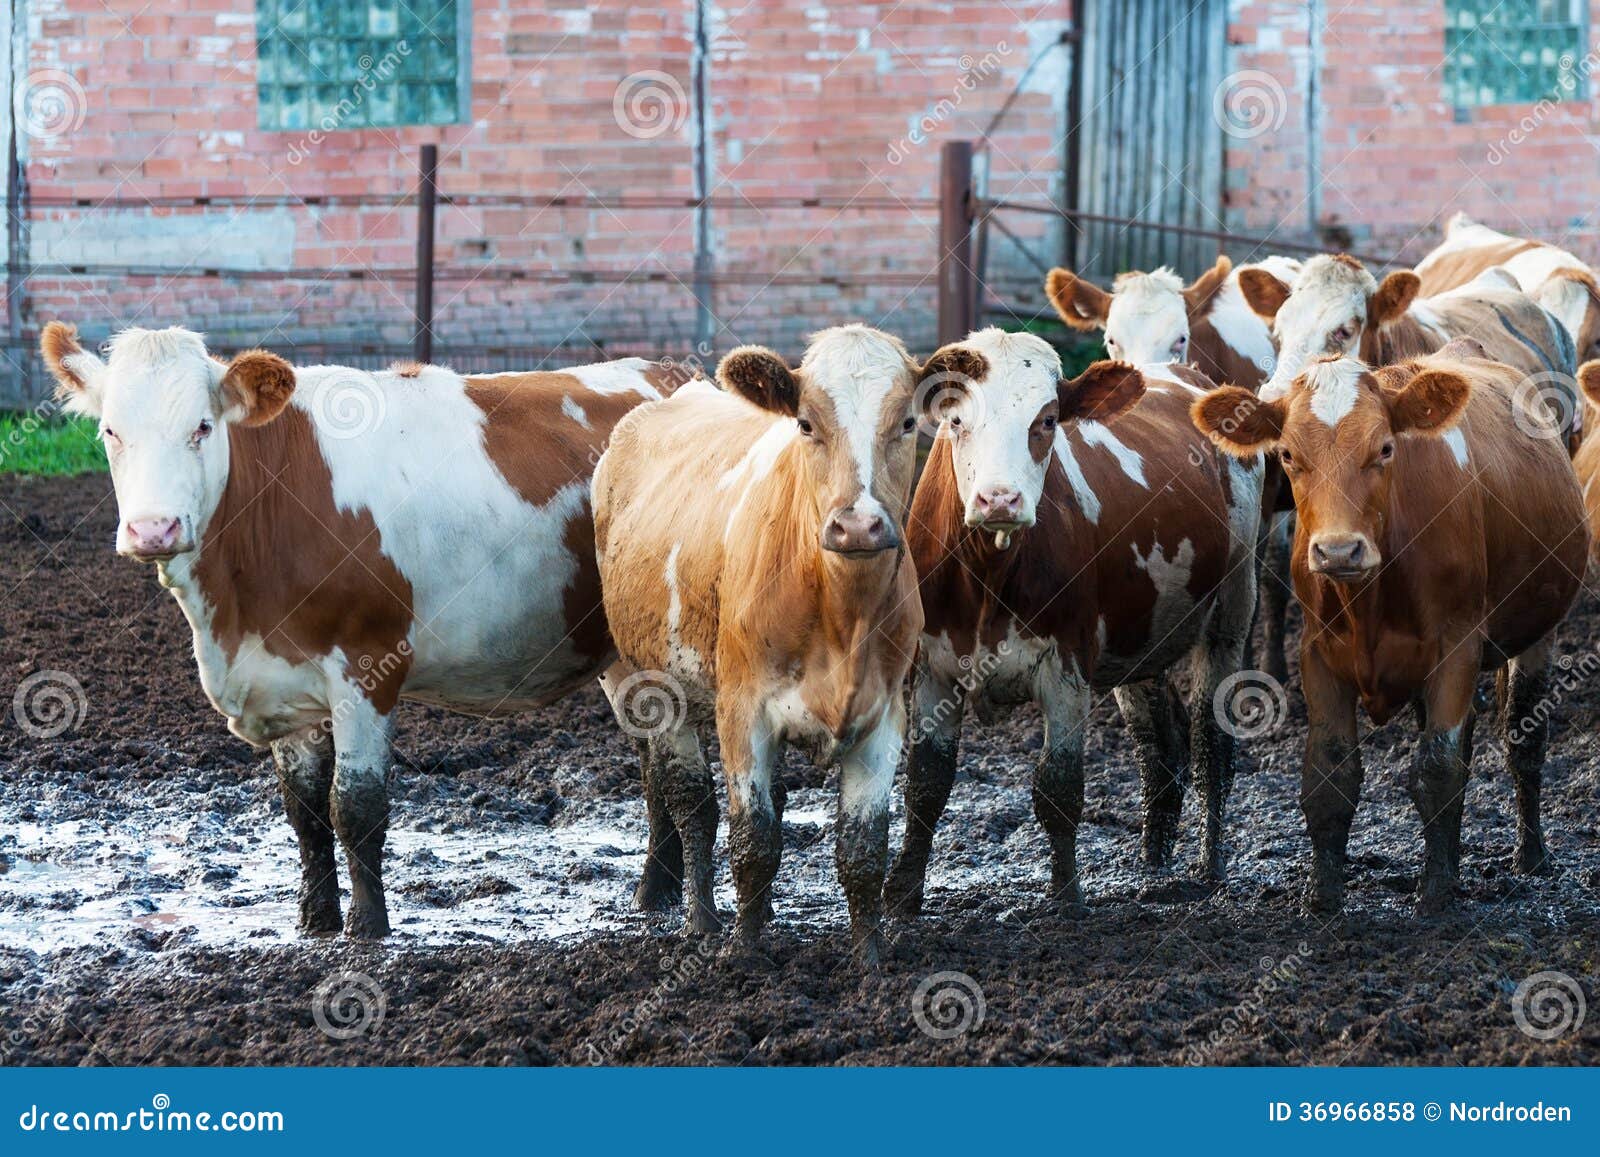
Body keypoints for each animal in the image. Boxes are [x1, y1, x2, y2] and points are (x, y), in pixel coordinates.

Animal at [40, 321, 691, 938]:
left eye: (202, 426)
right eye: (109, 432)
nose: (153, 529)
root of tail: (671, 371)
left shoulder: (367, 666)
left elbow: (356, 806)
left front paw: (367, 929)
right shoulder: (282, 683)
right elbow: (305, 812)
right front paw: (315, 921)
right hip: (622, 654)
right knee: (653, 760)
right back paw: (654, 896)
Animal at [591, 324, 923, 968]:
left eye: (907, 422)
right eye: (806, 423)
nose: (858, 526)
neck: (840, 612)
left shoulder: (887, 715)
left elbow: (863, 846)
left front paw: (870, 956)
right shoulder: (742, 709)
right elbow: (754, 838)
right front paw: (745, 951)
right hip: (651, 687)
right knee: (688, 800)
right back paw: (698, 916)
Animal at [882, 328, 1263, 922]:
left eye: (1046, 420)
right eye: (957, 419)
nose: (999, 499)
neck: (990, 572)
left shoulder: (1066, 669)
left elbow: (1058, 787)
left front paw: (1065, 894)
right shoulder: (933, 669)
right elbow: (926, 782)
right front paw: (902, 893)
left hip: (1231, 608)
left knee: (1209, 744)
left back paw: (1209, 865)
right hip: (1138, 636)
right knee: (1159, 747)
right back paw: (1152, 866)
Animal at [1192, 351, 1588, 915]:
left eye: (1384, 448)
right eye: (1287, 454)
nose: (1338, 550)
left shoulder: (1457, 650)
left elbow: (1438, 769)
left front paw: (1437, 892)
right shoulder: (1317, 655)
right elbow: (1330, 775)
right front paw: (1323, 895)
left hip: (1539, 633)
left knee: (1523, 742)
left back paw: (1530, 856)